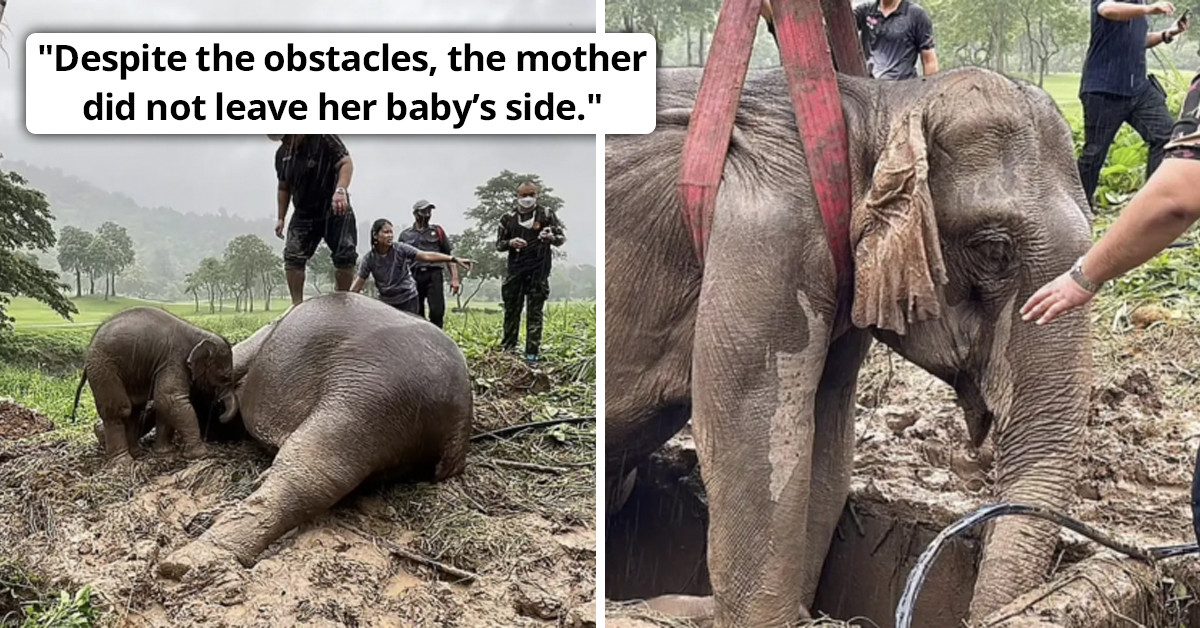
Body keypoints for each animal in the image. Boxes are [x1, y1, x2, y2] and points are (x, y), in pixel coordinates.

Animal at [72, 307, 239, 465]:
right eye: (225, 377)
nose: (220, 415)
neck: (199, 333)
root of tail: (87, 355)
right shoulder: (174, 359)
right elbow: (169, 399)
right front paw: (201, 454)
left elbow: (163, 405)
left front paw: (165, 453)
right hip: (104, 368)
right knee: (120, 410)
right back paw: (123, 462)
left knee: (135, 410)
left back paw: (137, 453)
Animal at [604, 66, 1093, 627]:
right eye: (995, 249)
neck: (877, 107)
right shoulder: (767, 241)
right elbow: (751, 433)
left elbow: (828, 431)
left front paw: (795, 611)